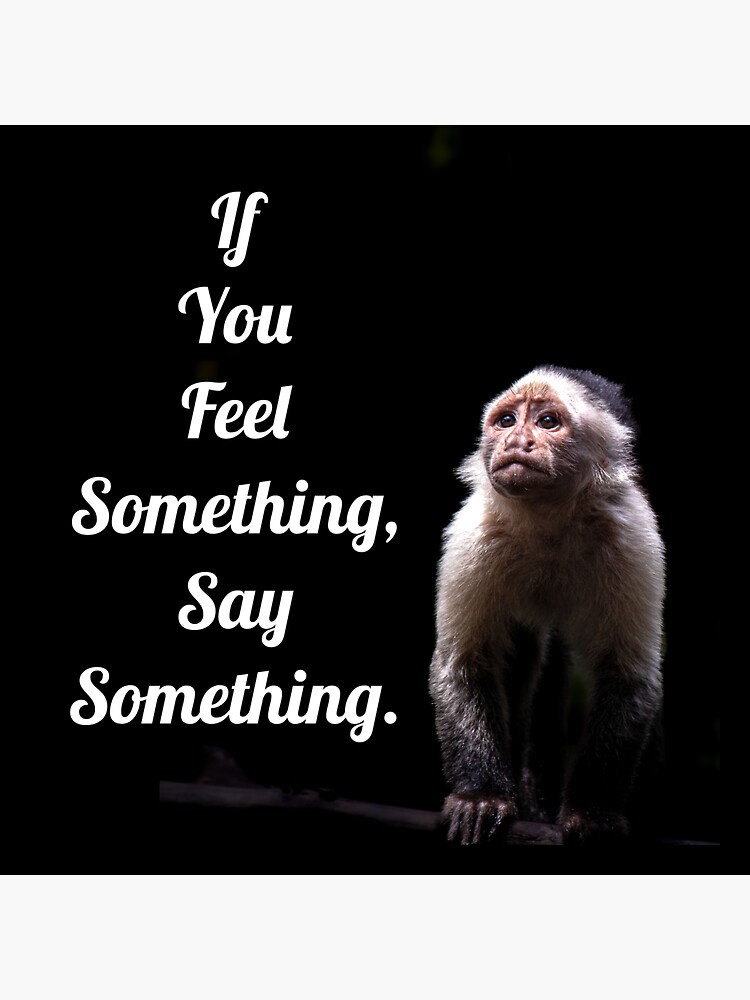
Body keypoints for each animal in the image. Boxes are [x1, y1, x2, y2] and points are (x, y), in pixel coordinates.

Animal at [429, 366, 665, 846]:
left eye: (548, 422)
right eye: (506, 421)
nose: (516, 441)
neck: (549, 522)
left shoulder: (632, 535)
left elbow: (627, 676)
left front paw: (592, 813)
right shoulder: (474, 533)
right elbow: (464, 665)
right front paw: (480, 797)